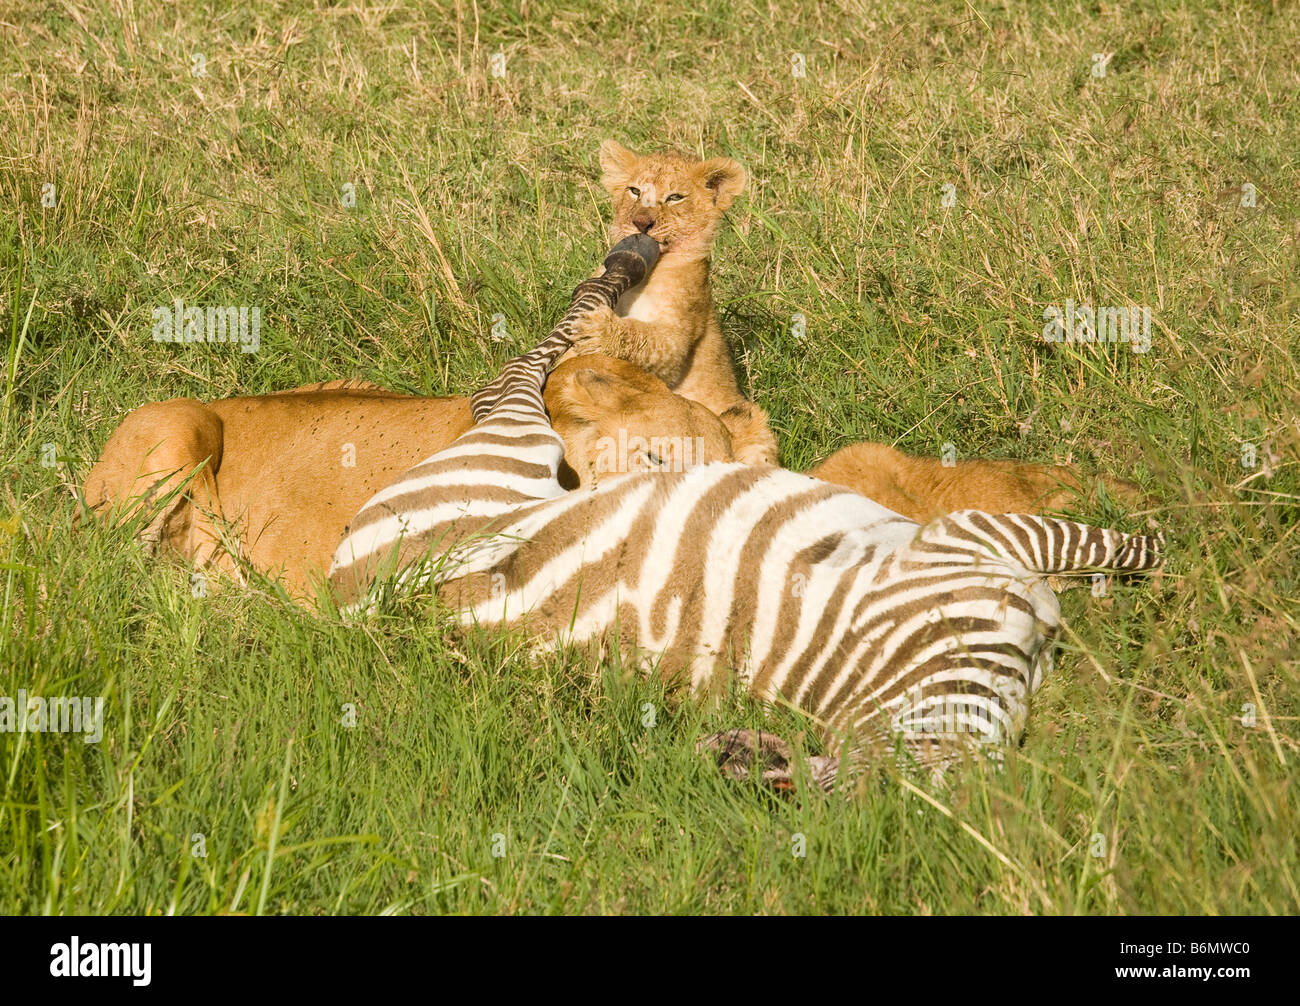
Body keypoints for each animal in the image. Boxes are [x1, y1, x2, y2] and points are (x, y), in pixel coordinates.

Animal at [329, 234, 1164, 788]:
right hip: (506, 441)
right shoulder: (978, 538)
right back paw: (626, 258)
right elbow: (1129, 545)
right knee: (517, 373)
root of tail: (388, 607)